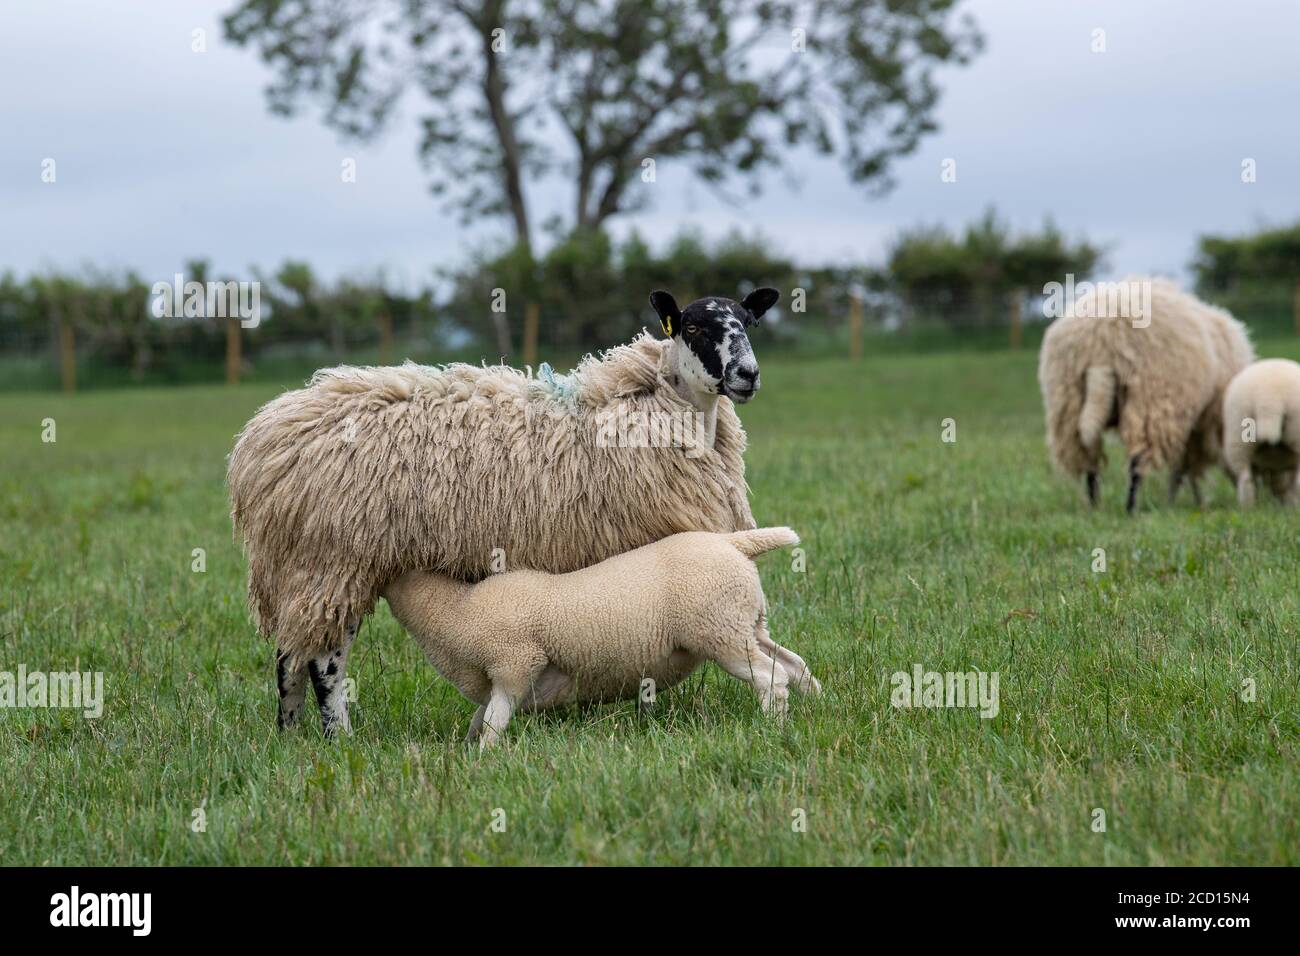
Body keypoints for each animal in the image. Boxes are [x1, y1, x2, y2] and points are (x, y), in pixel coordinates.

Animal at [228, 288, 780, 735]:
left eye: (748, 323)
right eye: (694, 327)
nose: (748, 375)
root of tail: (263, 441)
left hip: (307, 566)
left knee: (289, 656)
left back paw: (291, 735)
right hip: (334, 558)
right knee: (323, 661)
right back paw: (336, 736)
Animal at [382, 527, 820, 748]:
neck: (455, 608)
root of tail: (732, 541)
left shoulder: (514, 662)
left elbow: (494, 718)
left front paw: (484, 757)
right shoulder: (505, 677)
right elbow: (482, 716)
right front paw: (466, 749)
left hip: (719, 630)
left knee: (770, 675)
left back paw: (772, 725)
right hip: (746, 623)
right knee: (793, 664)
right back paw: (818, 703)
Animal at [1038, 277, 1253, 512]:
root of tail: (1100, 342)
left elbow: (1183, 465)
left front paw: (1186, 500)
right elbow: (1184, 465)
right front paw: (1187, 501)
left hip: (1067, 402)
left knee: (1088, 460)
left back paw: (1094, 507)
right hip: (1151, 402)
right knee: (1137, 461)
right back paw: (1131, 508)